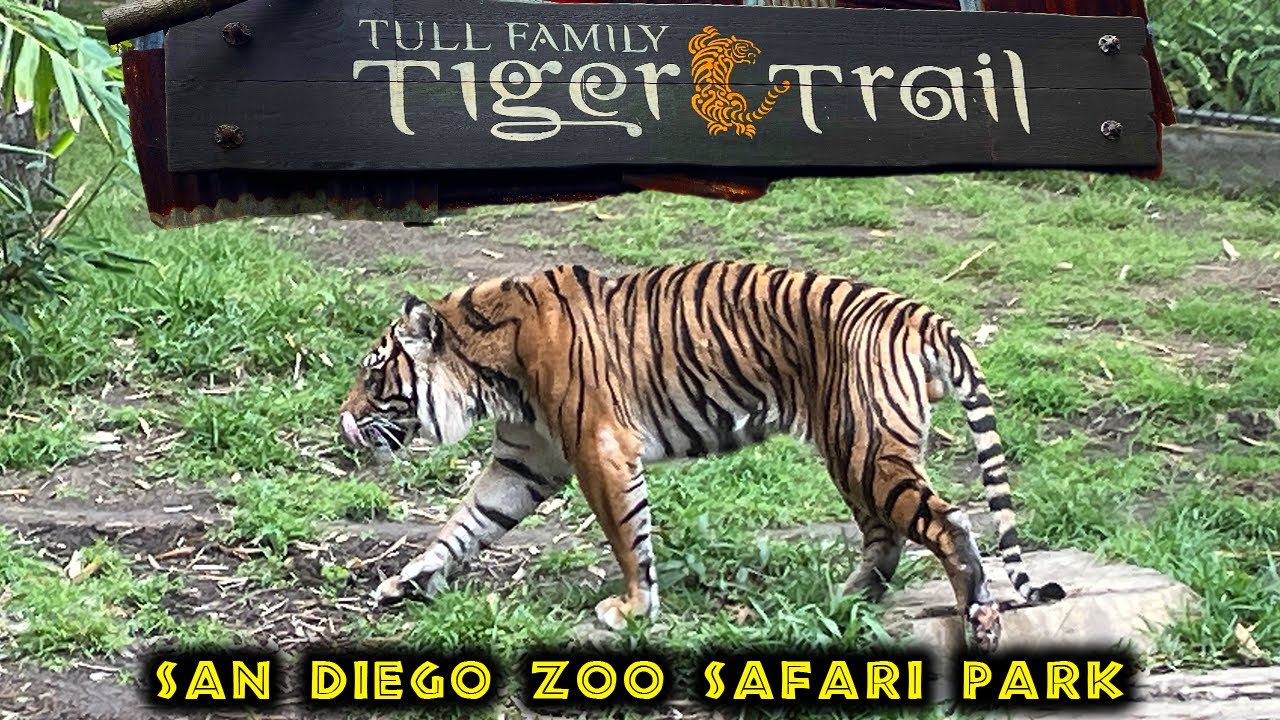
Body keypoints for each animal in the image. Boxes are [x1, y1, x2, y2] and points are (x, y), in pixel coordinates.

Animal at [338, 261, 1065, 653]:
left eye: (373, 375)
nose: (343, 423)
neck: (488, 368)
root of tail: (922, 315)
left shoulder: (600, 449)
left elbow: (628, 538)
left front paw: (633, 611)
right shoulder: (527, 460)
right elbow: (464, 525)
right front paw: (407, 582)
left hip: (864, 450)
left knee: (949, 521)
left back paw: (979, 620)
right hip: (855, 450)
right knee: (886, 535)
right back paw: (844, 601)